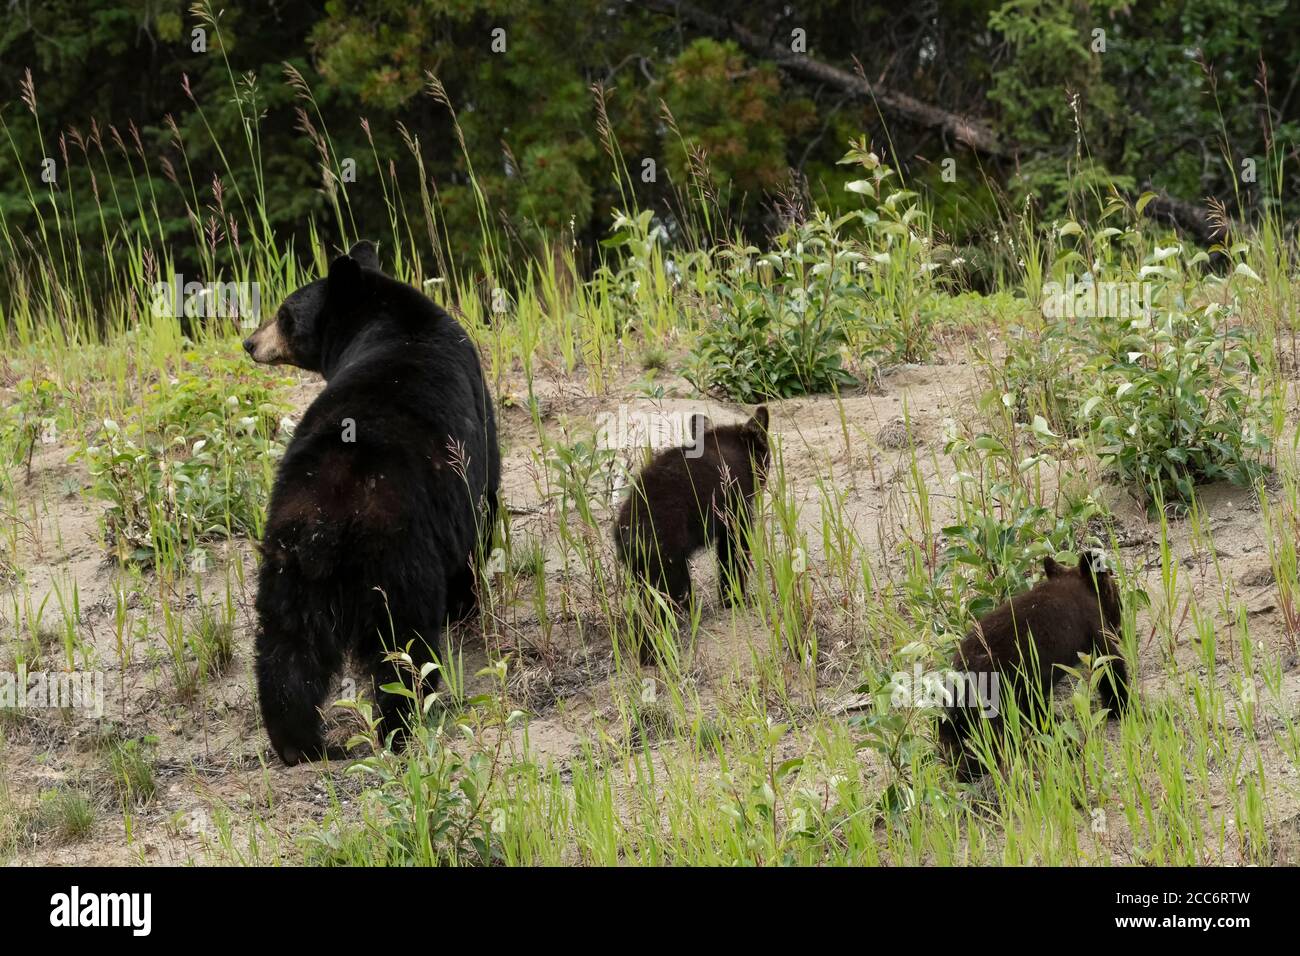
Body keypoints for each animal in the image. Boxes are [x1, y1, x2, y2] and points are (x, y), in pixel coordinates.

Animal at [244, 240, 500, 765]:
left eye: (282, 313)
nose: (250, 343)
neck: (390, 318)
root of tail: (325, 522)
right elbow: (482, 514)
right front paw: (466, 606)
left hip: (284, 563)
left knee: (285, 652)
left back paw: (297, 743)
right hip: (398, 563)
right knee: (403, 651)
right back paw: (401, 726)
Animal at [614, 407, 771, 625]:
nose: (766, 472)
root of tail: (628, 530)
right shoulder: (735, 514)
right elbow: (732, 557)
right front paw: (735, 599)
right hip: (666, 559)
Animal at [936, 550, 1130, 780]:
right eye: (1114, 589)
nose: (1120, 624)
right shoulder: (1094, 629)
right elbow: (1111, 667)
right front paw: (1120, 707)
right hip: (1003, 699)